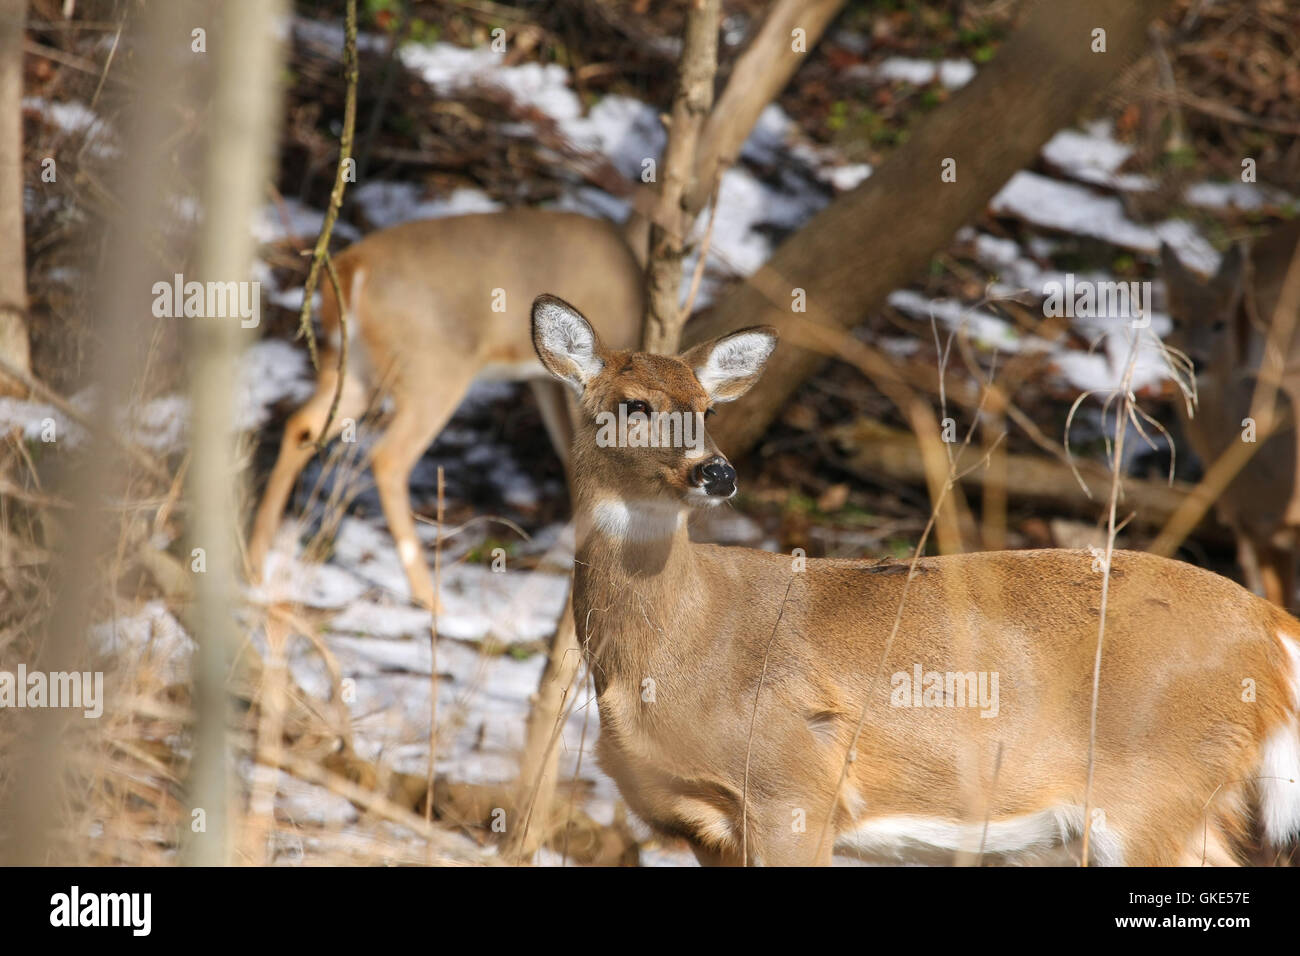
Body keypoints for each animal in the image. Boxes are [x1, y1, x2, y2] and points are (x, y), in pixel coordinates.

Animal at [246, 209, 646, 611]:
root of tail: (352, 266)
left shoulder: (545, 380)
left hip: (352, 368)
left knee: (302, 425)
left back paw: (256, 566)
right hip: (432, 372)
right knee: (388, 456)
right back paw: (428, 596)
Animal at [530, 291, 1300, 866]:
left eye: (708, 407)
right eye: (634, 404)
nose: (717, 473)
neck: (670, 654)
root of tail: (1273, 628)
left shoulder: (794, 784)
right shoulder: (698, 824)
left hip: (1156, 793)